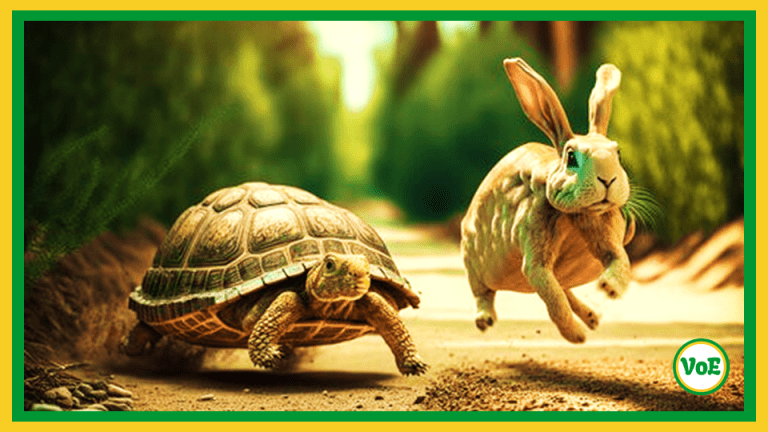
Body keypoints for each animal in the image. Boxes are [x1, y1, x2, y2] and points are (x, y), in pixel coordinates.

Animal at [460, 58, 636, 344]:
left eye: (618, 153)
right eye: (571, 157)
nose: (608, 180)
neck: (577, 214)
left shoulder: (606, 233)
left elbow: (620, 260)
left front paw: (608, 288)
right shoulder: (535, 246)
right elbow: (551, 295)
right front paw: (576, 336)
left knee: (565, 288)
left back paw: (593, 318)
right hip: (471, 257)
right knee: (483, 291)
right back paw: (485, 321)